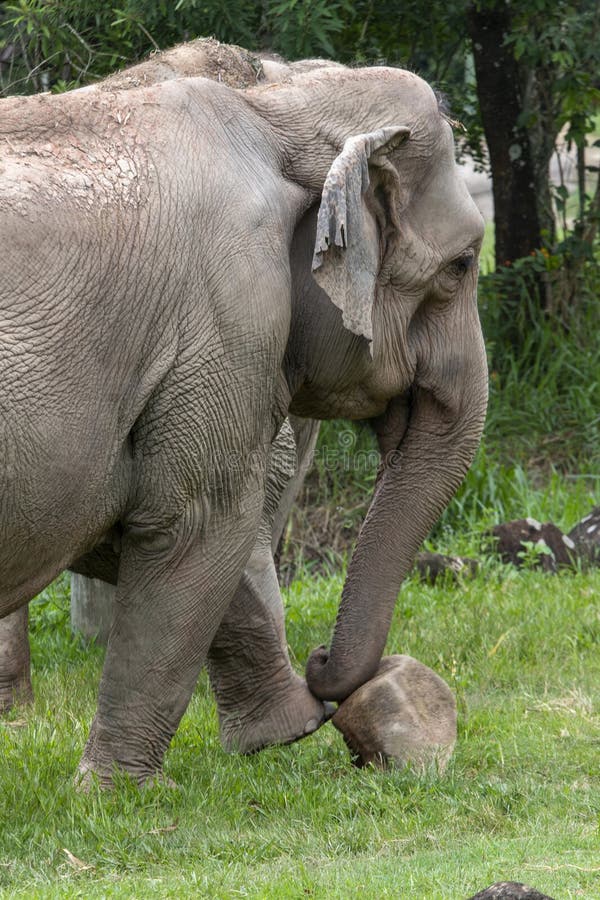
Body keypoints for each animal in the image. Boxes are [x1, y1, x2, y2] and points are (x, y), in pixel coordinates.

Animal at [0, 53, 488, 784]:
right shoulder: (224, 314)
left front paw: (281, 734)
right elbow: (197, 519)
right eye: (461, 266)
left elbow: (125, 521)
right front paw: (112, 793)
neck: (274, 109)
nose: (322, 663)